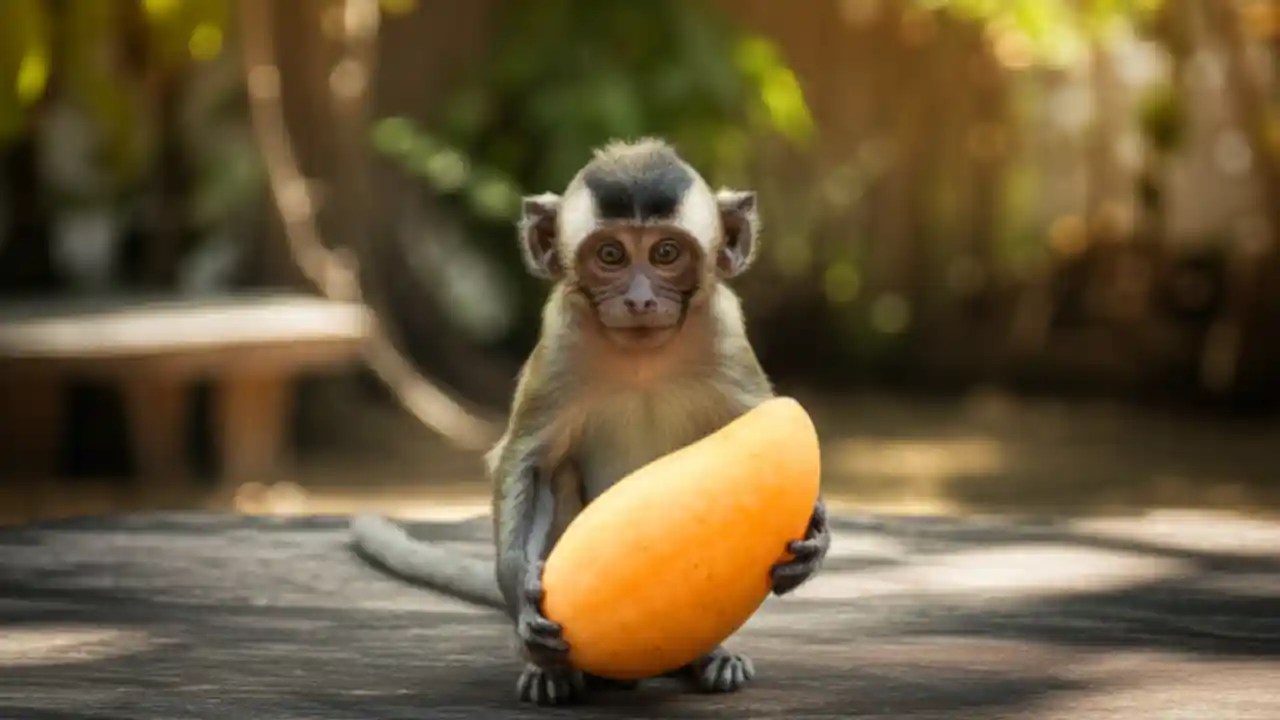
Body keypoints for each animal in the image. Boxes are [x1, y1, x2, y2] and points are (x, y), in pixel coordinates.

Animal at [351, 138, 830, 706]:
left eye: (666, 253)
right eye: (611, 255)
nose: (640, 299)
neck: (643, 358)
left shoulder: (724, 333)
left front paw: (814, 539)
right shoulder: (562, 340)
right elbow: (531, 463)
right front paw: (524, 598)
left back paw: (708, 657)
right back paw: (553, 669)